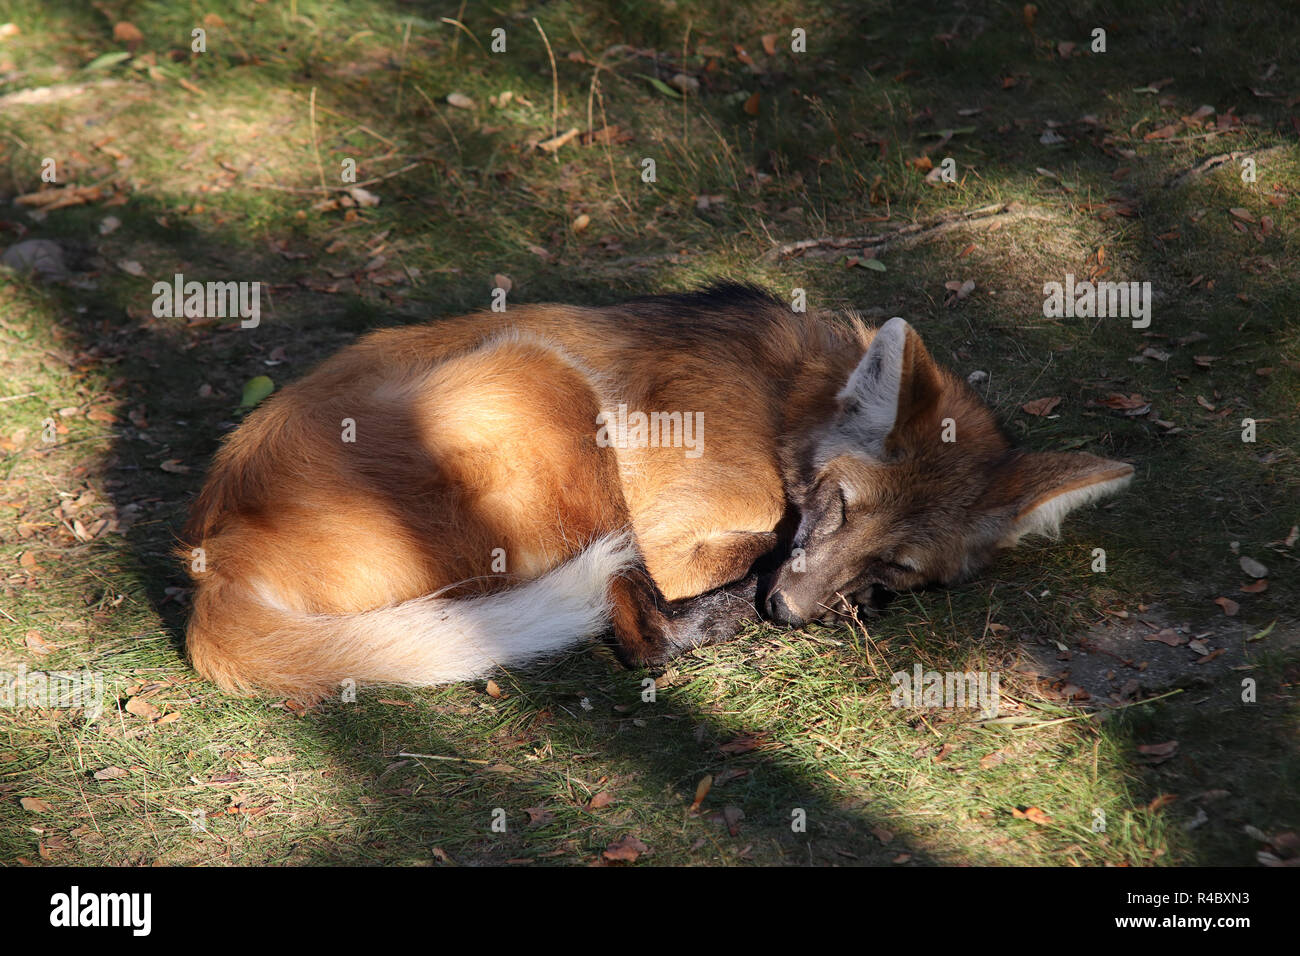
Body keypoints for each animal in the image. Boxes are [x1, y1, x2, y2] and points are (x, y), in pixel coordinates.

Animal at [181, 283, 1132, 701]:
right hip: (545, 377)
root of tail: (217, 556)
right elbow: (738, 561)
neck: (786, 406)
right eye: (839, 506)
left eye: (898, 561)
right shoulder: (688, 540)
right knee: (636, 625)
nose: (788, 612)